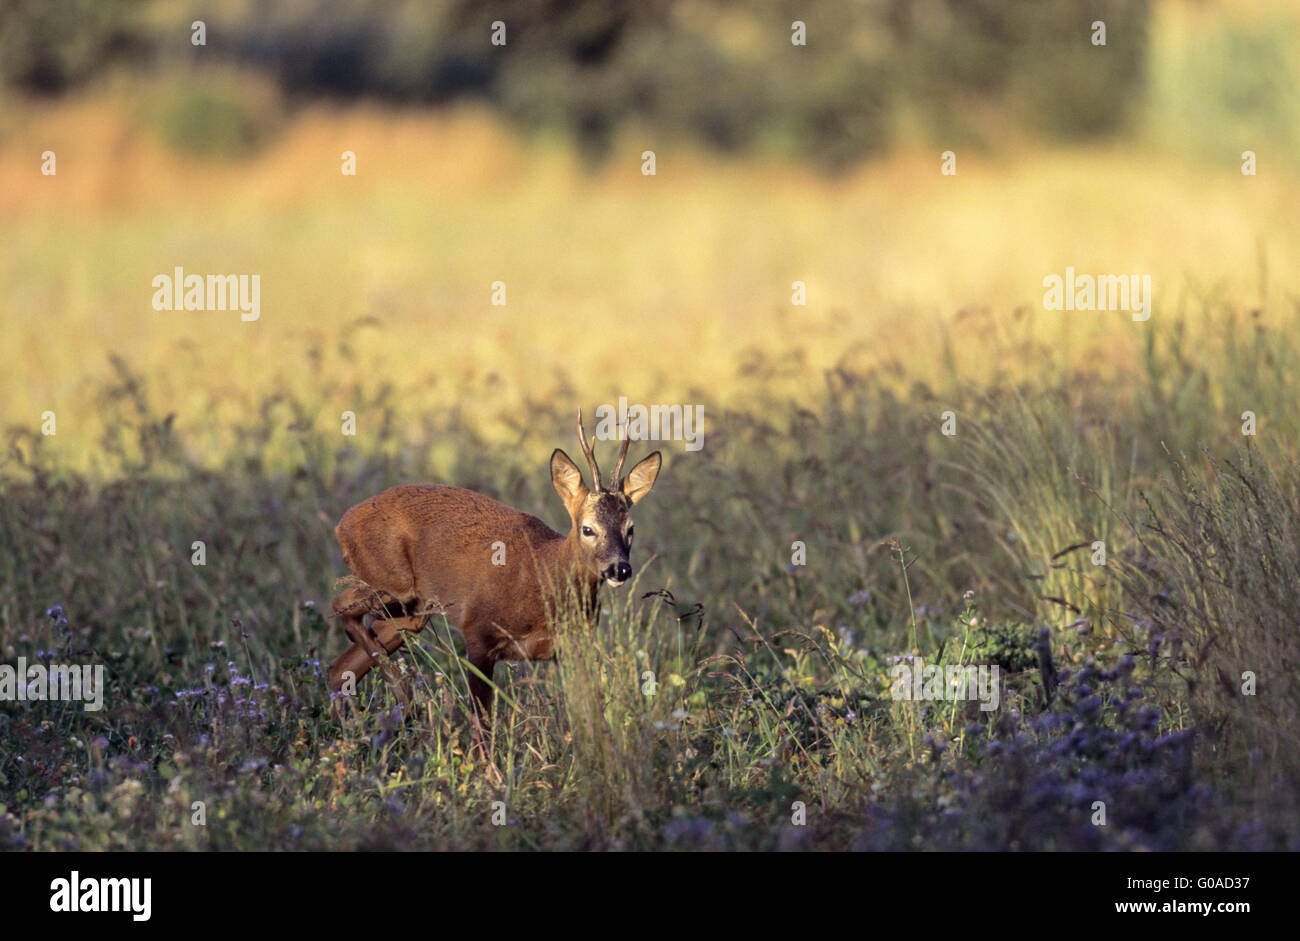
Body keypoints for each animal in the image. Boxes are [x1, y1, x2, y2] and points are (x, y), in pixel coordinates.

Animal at [325, 411, 661, 724]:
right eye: (587, 529)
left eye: (630, 529)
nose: (619, 569)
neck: (544, 574)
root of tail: (343, 523)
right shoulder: (477, 635)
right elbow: (483, 727)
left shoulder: (573, 647)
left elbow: (589, 716)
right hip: (390, 581)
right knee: (340, 605)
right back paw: (403, 699)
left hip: (410, 612)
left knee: (339, 667)